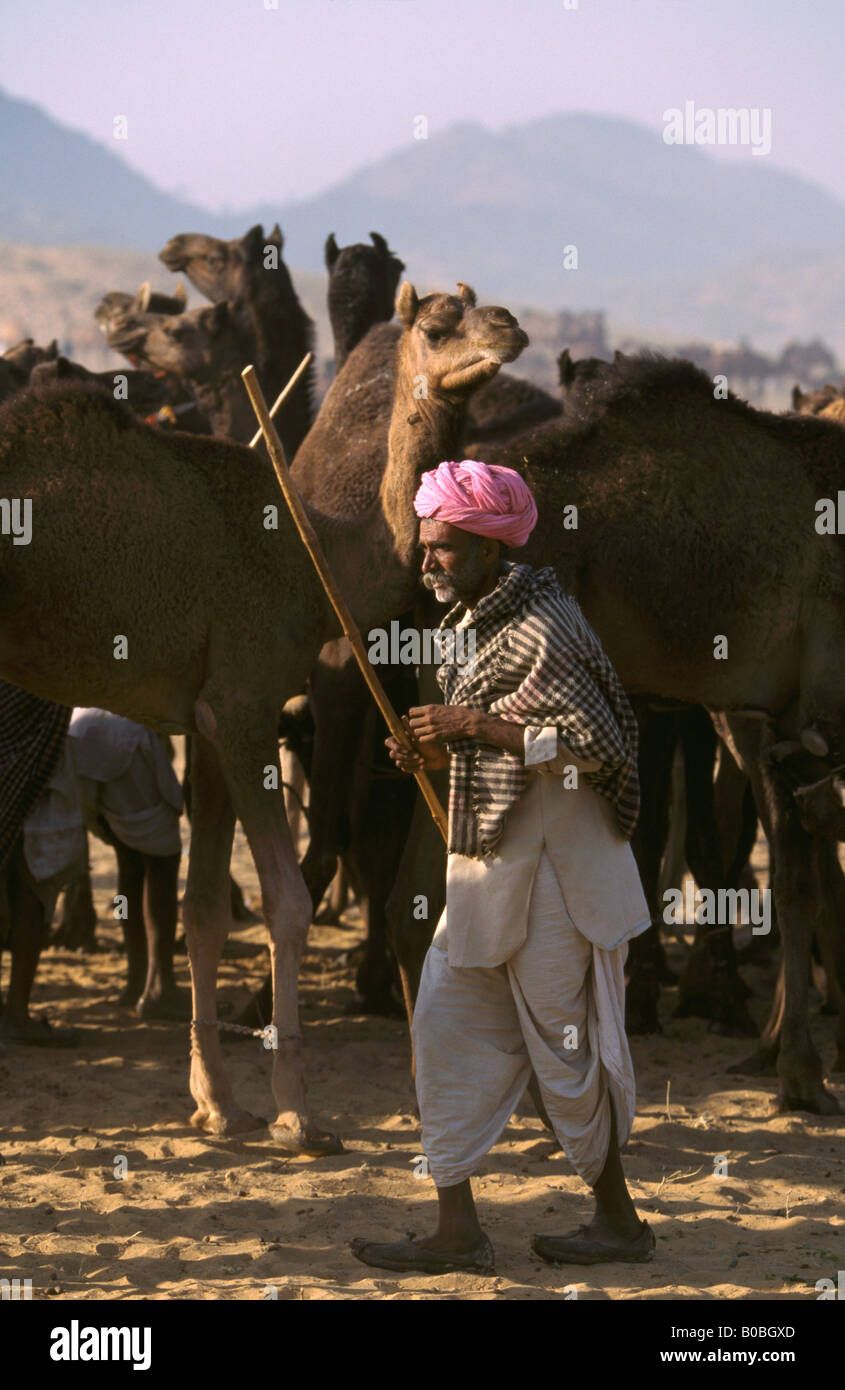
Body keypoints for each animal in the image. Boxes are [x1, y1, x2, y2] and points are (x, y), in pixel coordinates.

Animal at [0, 282, 526, 1149]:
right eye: (436, 323)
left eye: (479, 302)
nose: (510, 326)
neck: (319, 564)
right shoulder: (247, 707)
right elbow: (284, 899)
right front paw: (298, 1114)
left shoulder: (211, 719)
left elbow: (207, 907)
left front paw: (217, 1102)